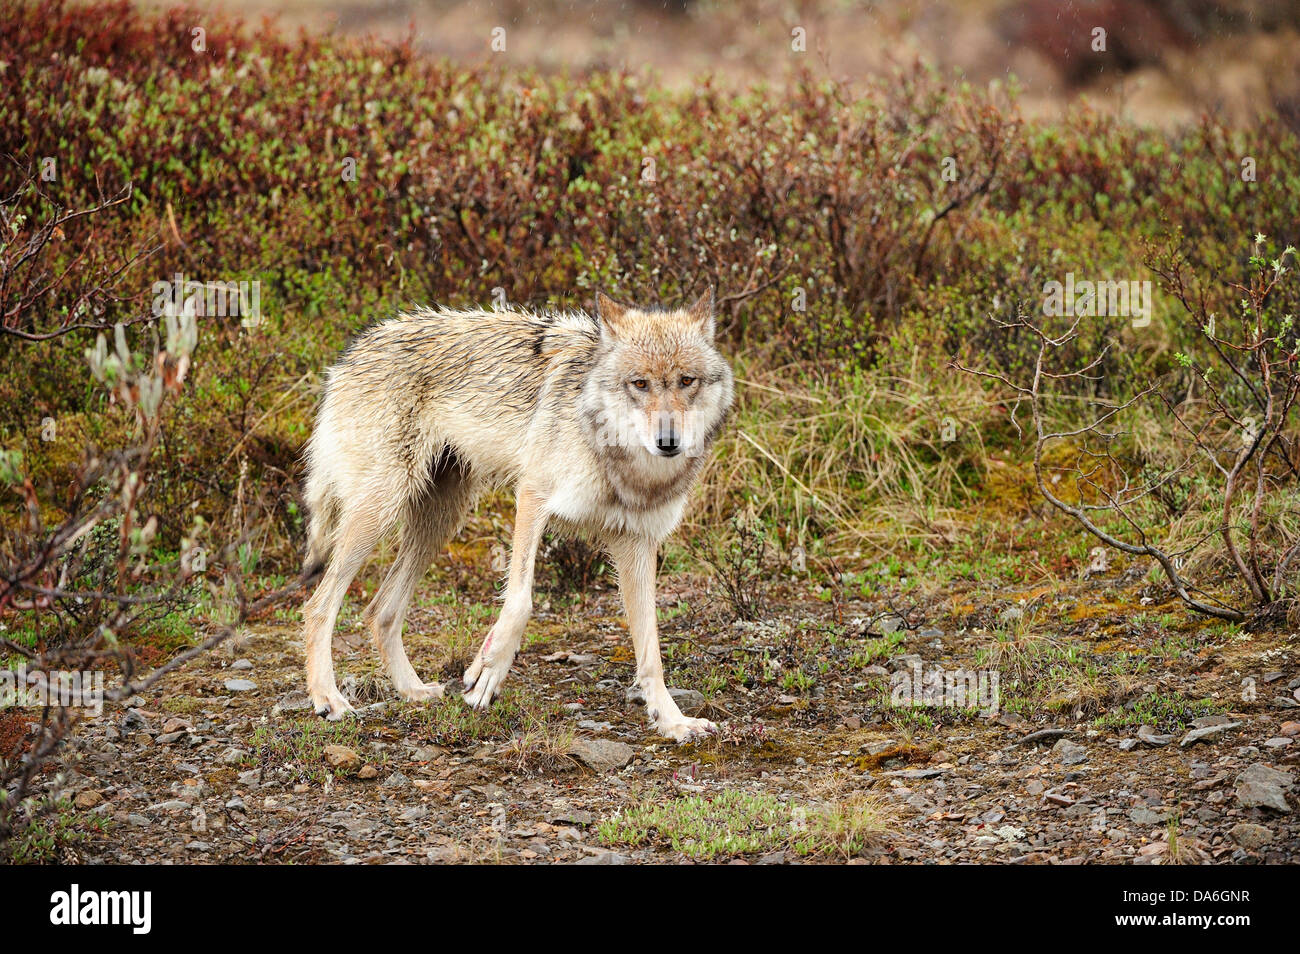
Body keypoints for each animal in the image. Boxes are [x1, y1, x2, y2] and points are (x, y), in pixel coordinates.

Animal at [300, 290, 733, 742]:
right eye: (640, 384)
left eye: (686, 381)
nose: (668, 441)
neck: (618, 459)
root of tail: (352, 351)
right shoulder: (532, 497)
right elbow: (521, 600)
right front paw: (488, 670)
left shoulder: (638, 544)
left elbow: (650, 651)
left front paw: (673, 721)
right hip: (381, 510)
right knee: (319, 605)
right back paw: (328, 697)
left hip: (439, 522)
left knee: (380, 610)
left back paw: (413, 690)